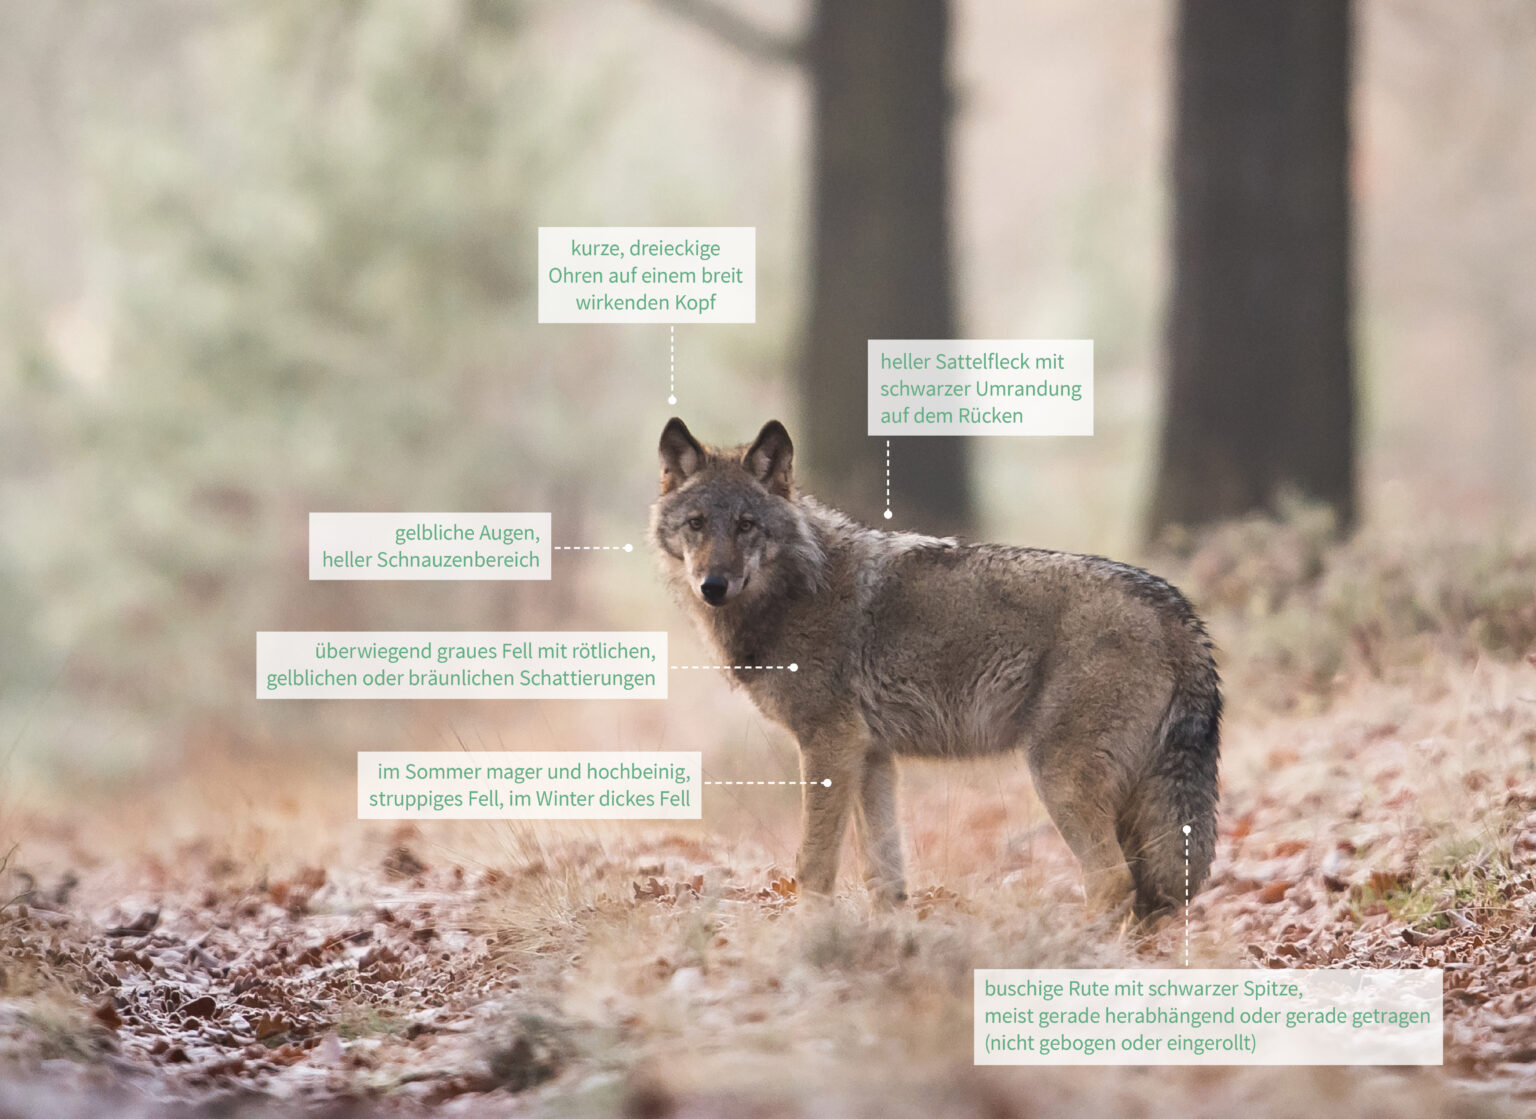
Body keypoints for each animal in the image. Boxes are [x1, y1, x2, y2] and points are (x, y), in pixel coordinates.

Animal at [649, 418, 1220, 920]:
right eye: (697, 524)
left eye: (746, 526)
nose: (713, 586)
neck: (795, 590)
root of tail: (1175, 606)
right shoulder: (871, 757)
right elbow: (884, 874)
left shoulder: (828, 746)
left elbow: (813, 865)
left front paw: (808, 940)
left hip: (1058, 779)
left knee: (1113, 881)